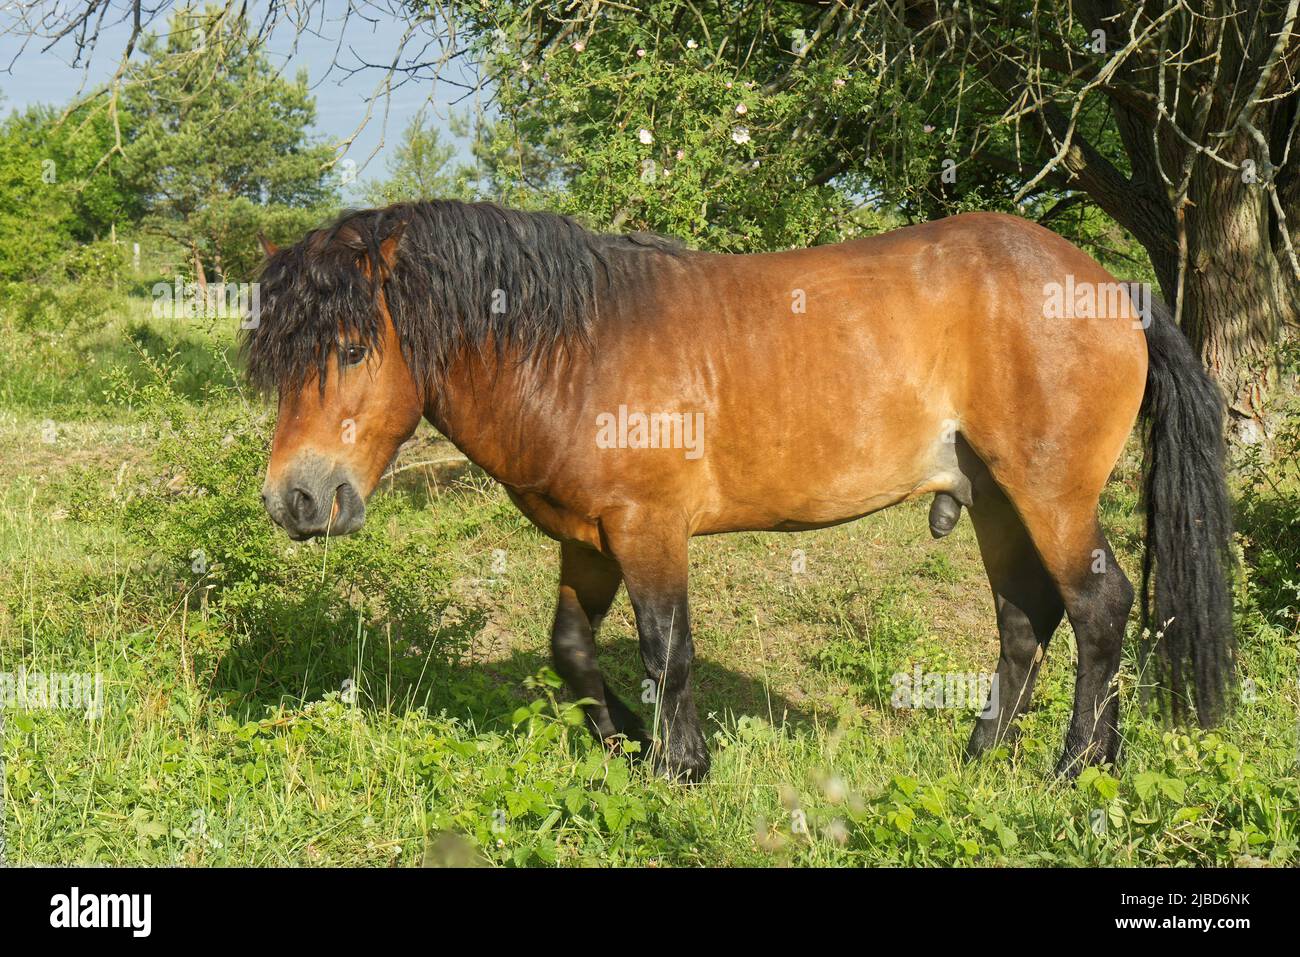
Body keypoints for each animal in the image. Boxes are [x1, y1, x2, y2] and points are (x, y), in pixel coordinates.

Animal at [246, 200, 1234, 782]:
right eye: (278, 359)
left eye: (350, 349)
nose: (295, 500)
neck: (576, 345)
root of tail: (1112, 288)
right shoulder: (589, 538)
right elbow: (572, 649)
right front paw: (628, 742)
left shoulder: (649, 529)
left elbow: (668, 651)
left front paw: (680, 766)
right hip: (995, 500)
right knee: (1027, 620)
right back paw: (993, 753)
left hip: (1050, 494)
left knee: (1100, 606)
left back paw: (1078, 766)